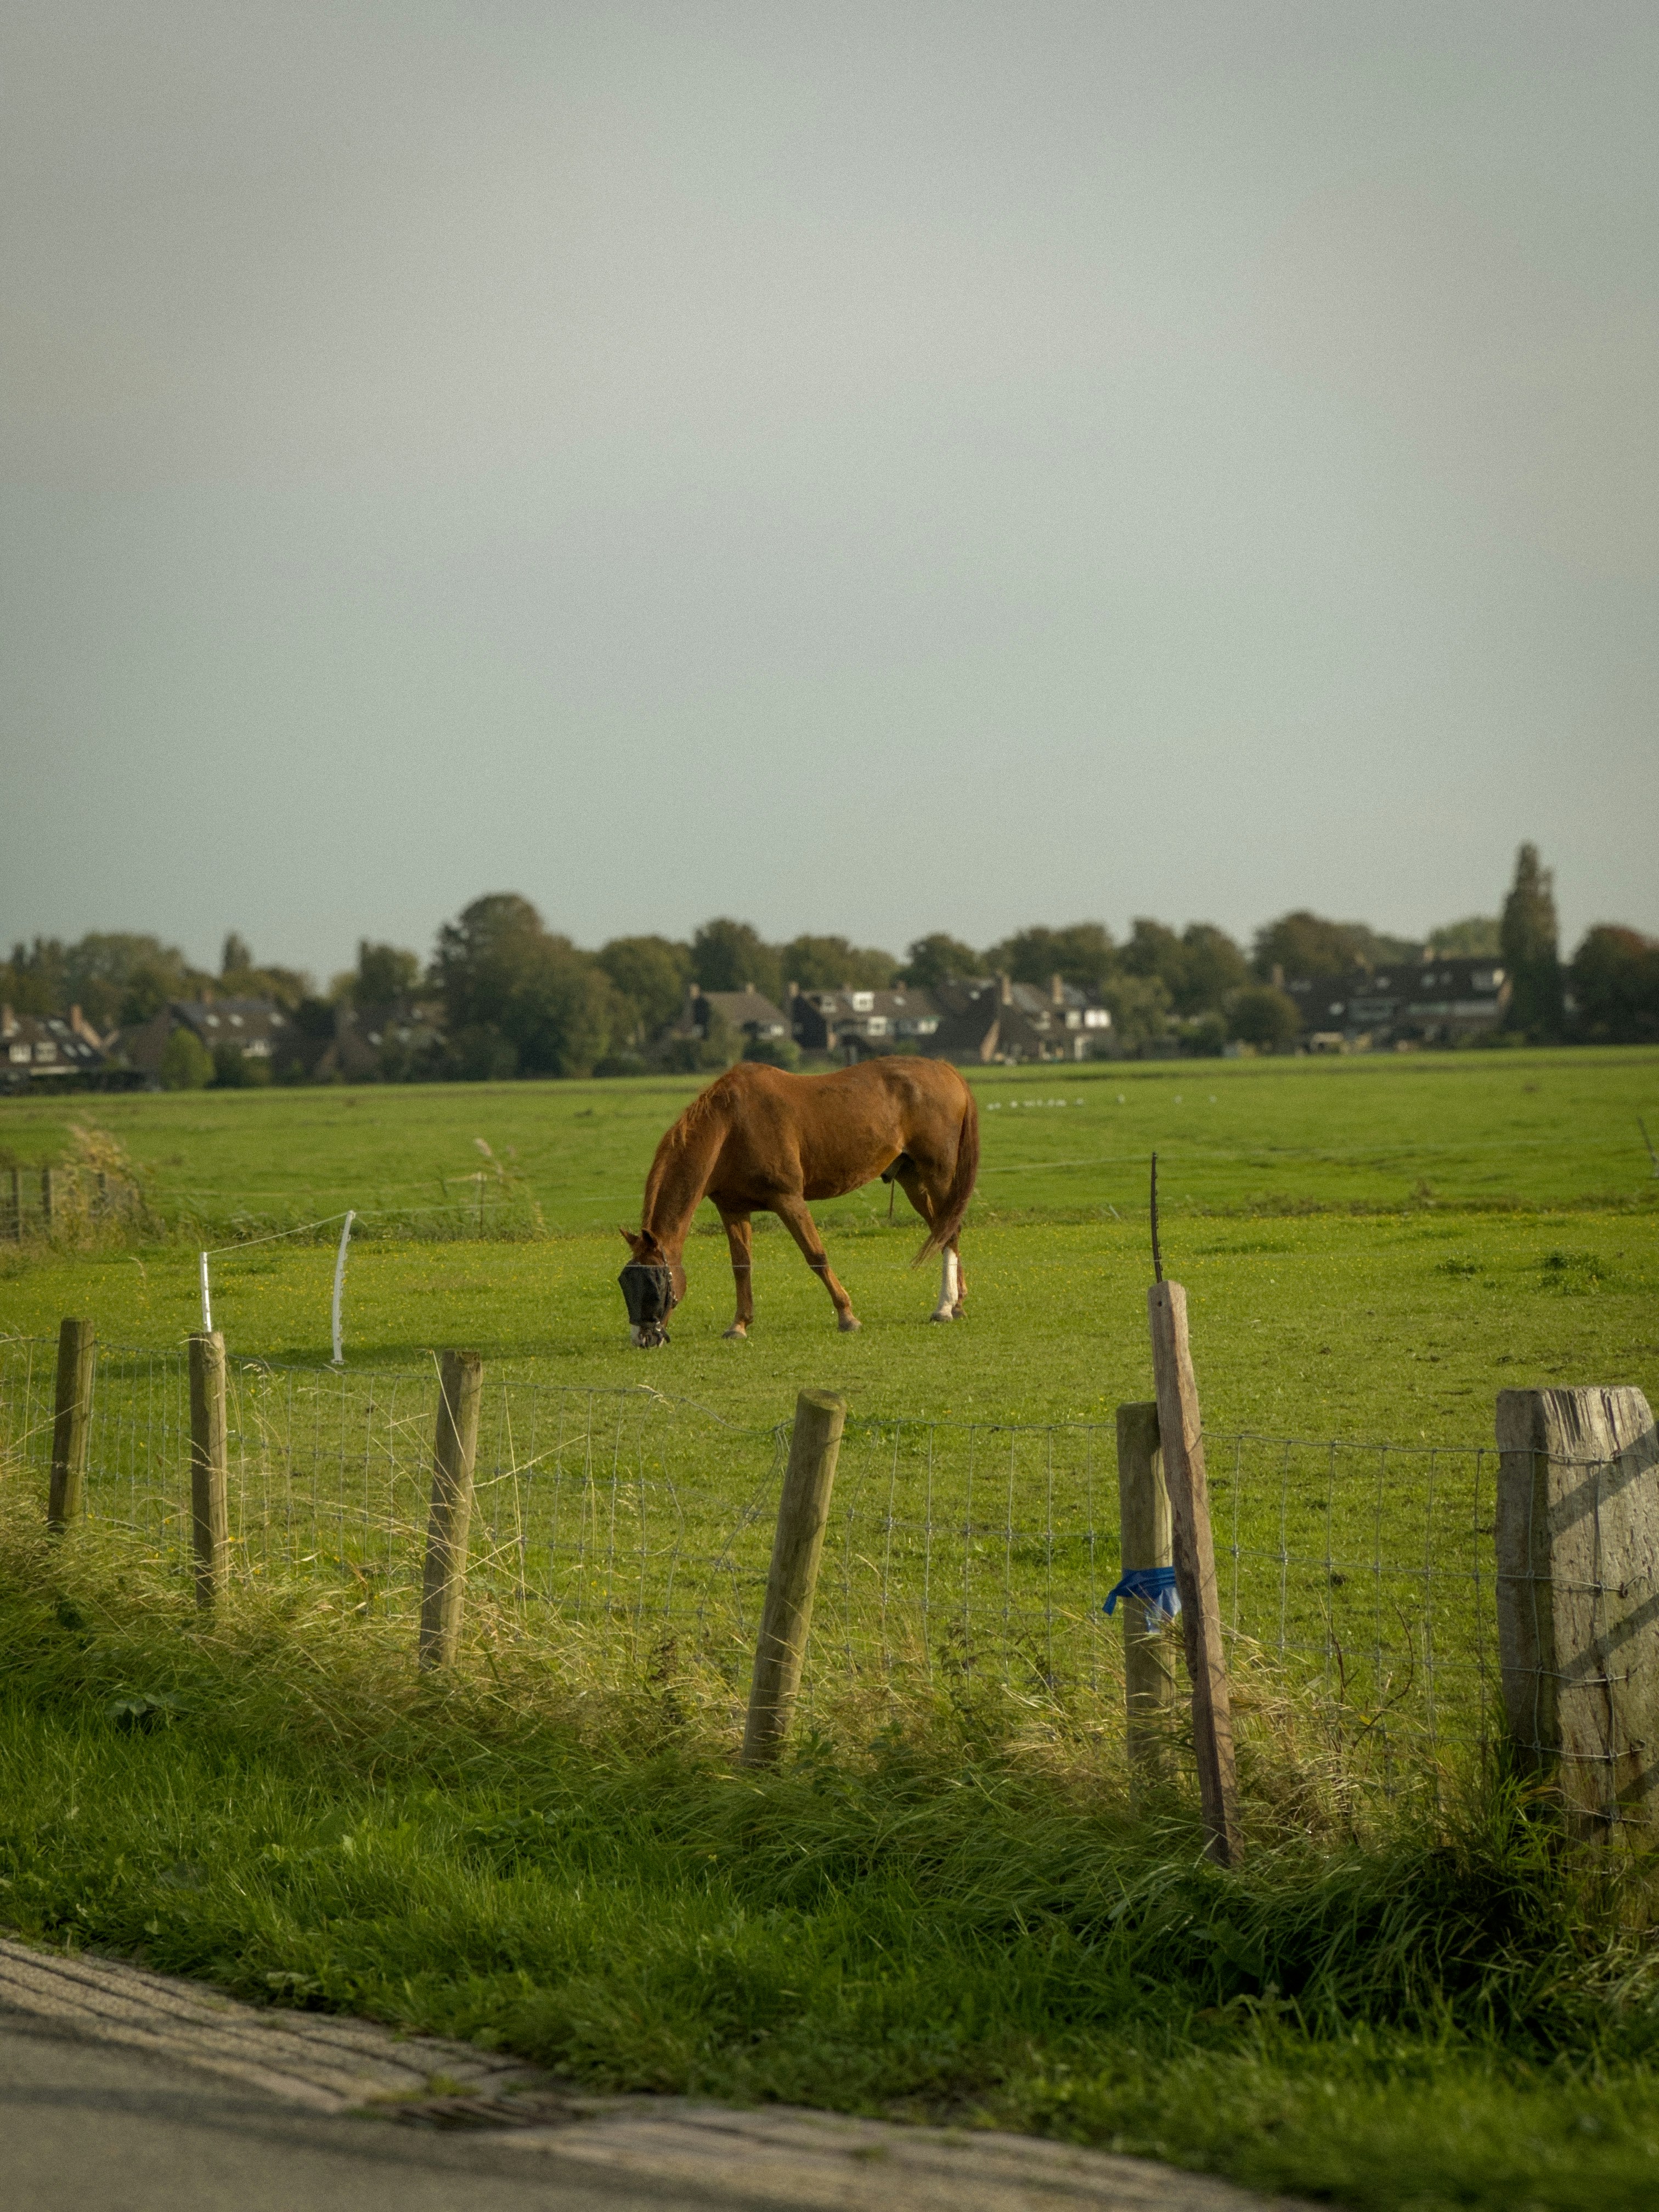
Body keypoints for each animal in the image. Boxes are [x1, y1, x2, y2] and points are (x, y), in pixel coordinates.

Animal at [617, 1057, 980, 1346]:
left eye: (656, 1282)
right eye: (625, 1282)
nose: (643, 1339)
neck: (731, 1125)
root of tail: (946, 1069)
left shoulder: (789, 1200)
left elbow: (816, 1256)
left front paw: (847, 1316)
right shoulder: (733, 1209)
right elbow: (741, 1266)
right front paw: (739, 1325)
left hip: (938, 1175)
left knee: (949, 1233)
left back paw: (944, 1308)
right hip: (912, 1178)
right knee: (942, 1231)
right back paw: (958, 1304)